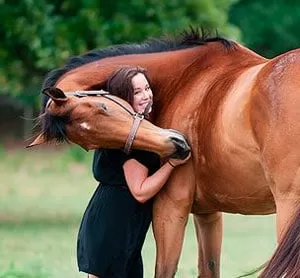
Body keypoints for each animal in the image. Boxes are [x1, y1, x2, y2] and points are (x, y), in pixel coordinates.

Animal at [28, 28, 300, 278]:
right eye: (91, 143)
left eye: (104, 108)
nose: (177, 144)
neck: (186, 79)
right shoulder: (207, 214)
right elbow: (208, 268)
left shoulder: (170, 206)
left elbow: (164, 270)